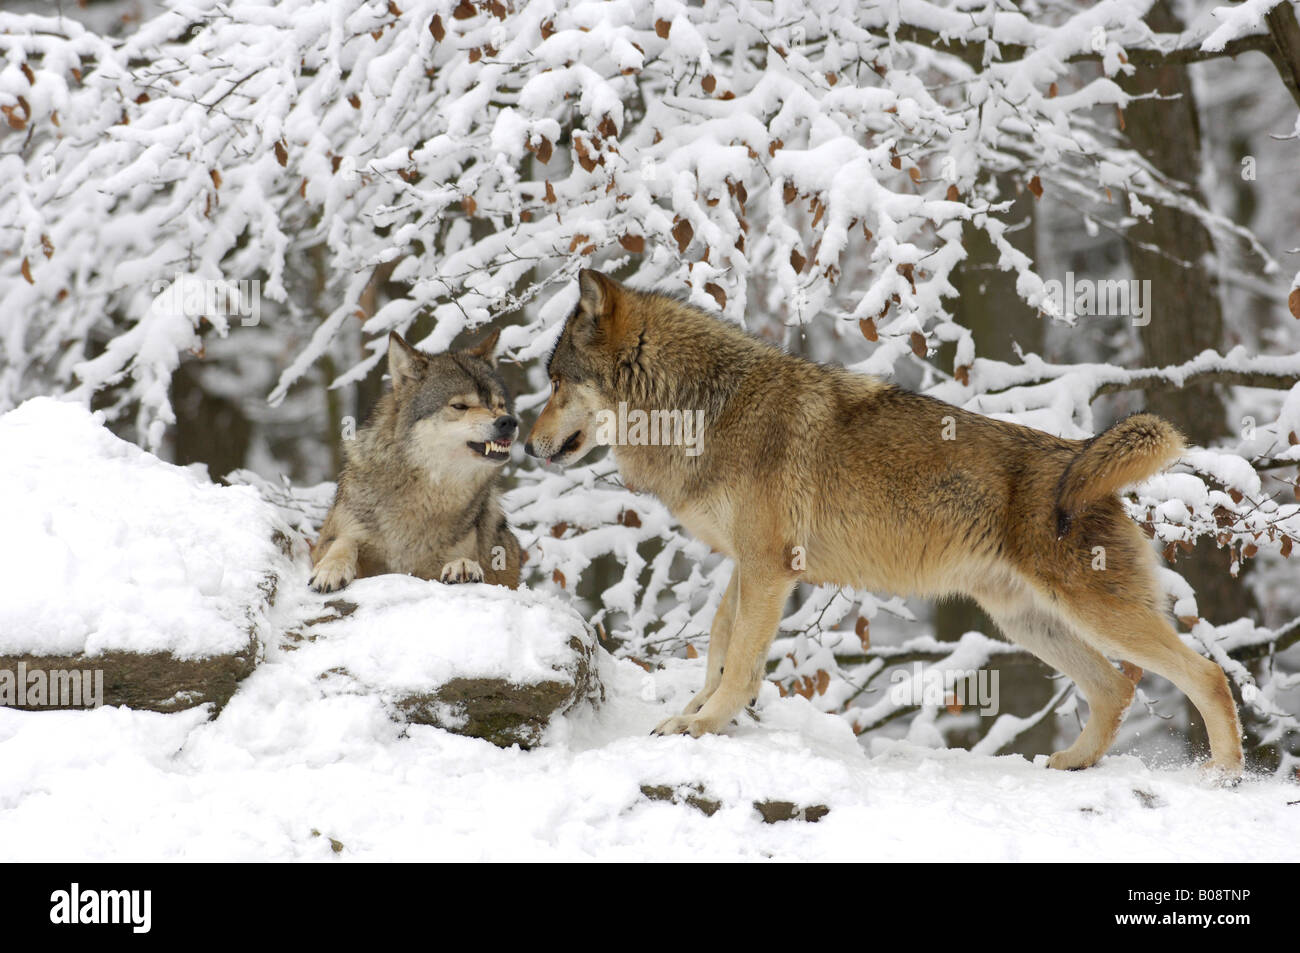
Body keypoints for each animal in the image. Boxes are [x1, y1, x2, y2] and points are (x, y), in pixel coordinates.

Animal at [310, 330, 522, 592]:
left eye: (500, 405)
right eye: (460, 406)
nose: (508, 421)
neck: (427, 491)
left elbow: (459, 559)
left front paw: (463, 565)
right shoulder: (332, 539)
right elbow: (344, 542)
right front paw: (331, 569)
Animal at [525, 269, 1244, 778]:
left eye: (556, 382)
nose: (524, 443)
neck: (704, 406)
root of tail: (1084, 459)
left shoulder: (768, 567)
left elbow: (739, 660)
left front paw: (705, 726)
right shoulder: (747, 564)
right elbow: (719, 642)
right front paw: (694, 714)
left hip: (1093, 613)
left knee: (1205, 674)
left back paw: (1224, 777)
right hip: (1026, 621)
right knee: (1116, 687)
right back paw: (1075, 761)